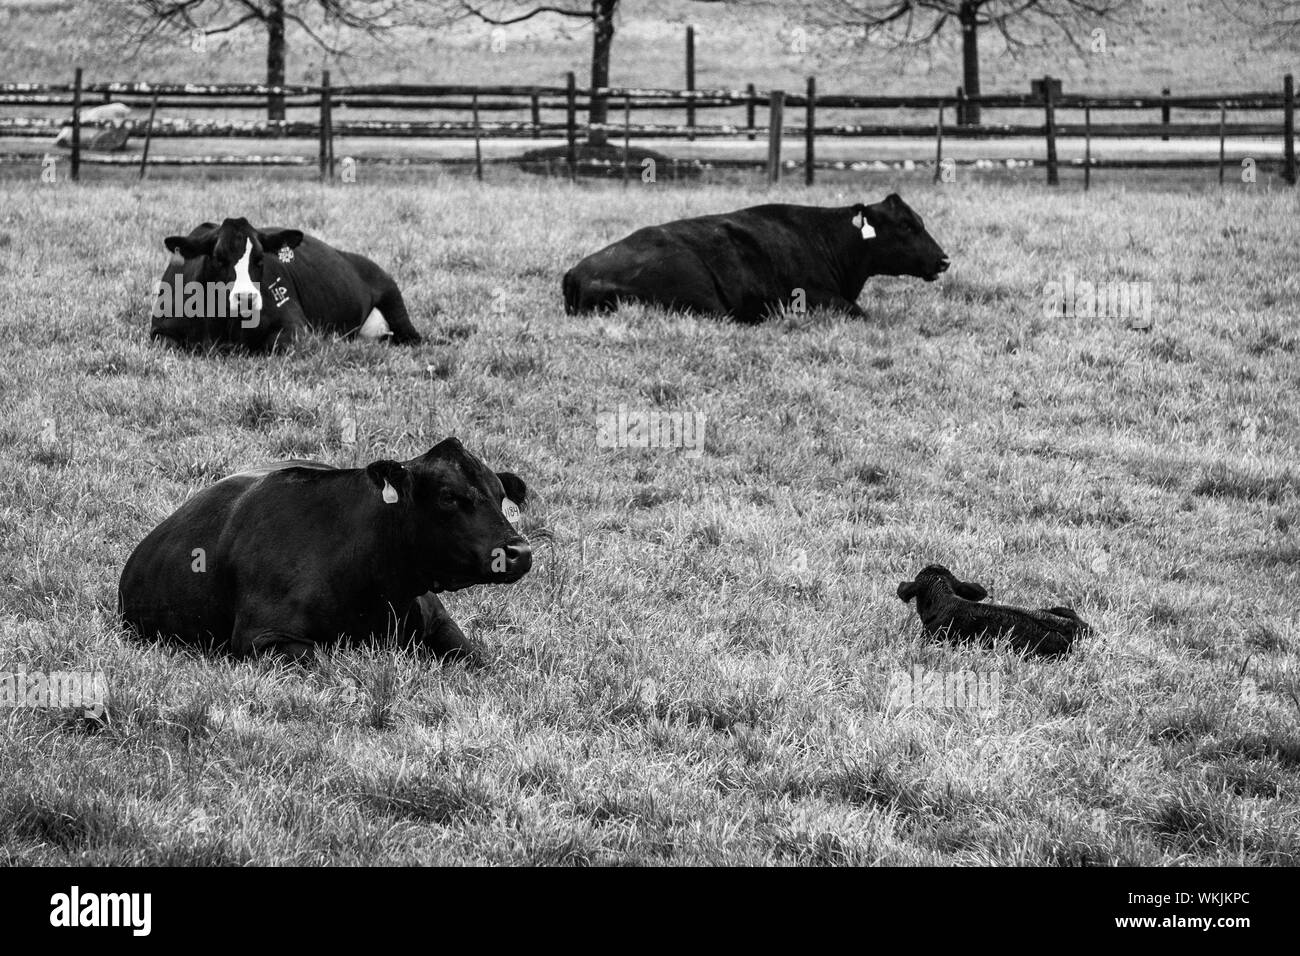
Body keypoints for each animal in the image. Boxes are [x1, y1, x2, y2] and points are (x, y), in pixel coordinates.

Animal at [118, 438, 531, 661]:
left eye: (501, 495)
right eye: (448, 497)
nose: (520, 552)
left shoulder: (440, 621)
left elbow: (479, 659)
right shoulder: (263, 636)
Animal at [150, 217, 420, 350]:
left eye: (259, 259)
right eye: (218, 258)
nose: (246, 298)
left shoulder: (296, 327)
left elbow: (274, 344)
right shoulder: (159, 331)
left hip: (395, 303)